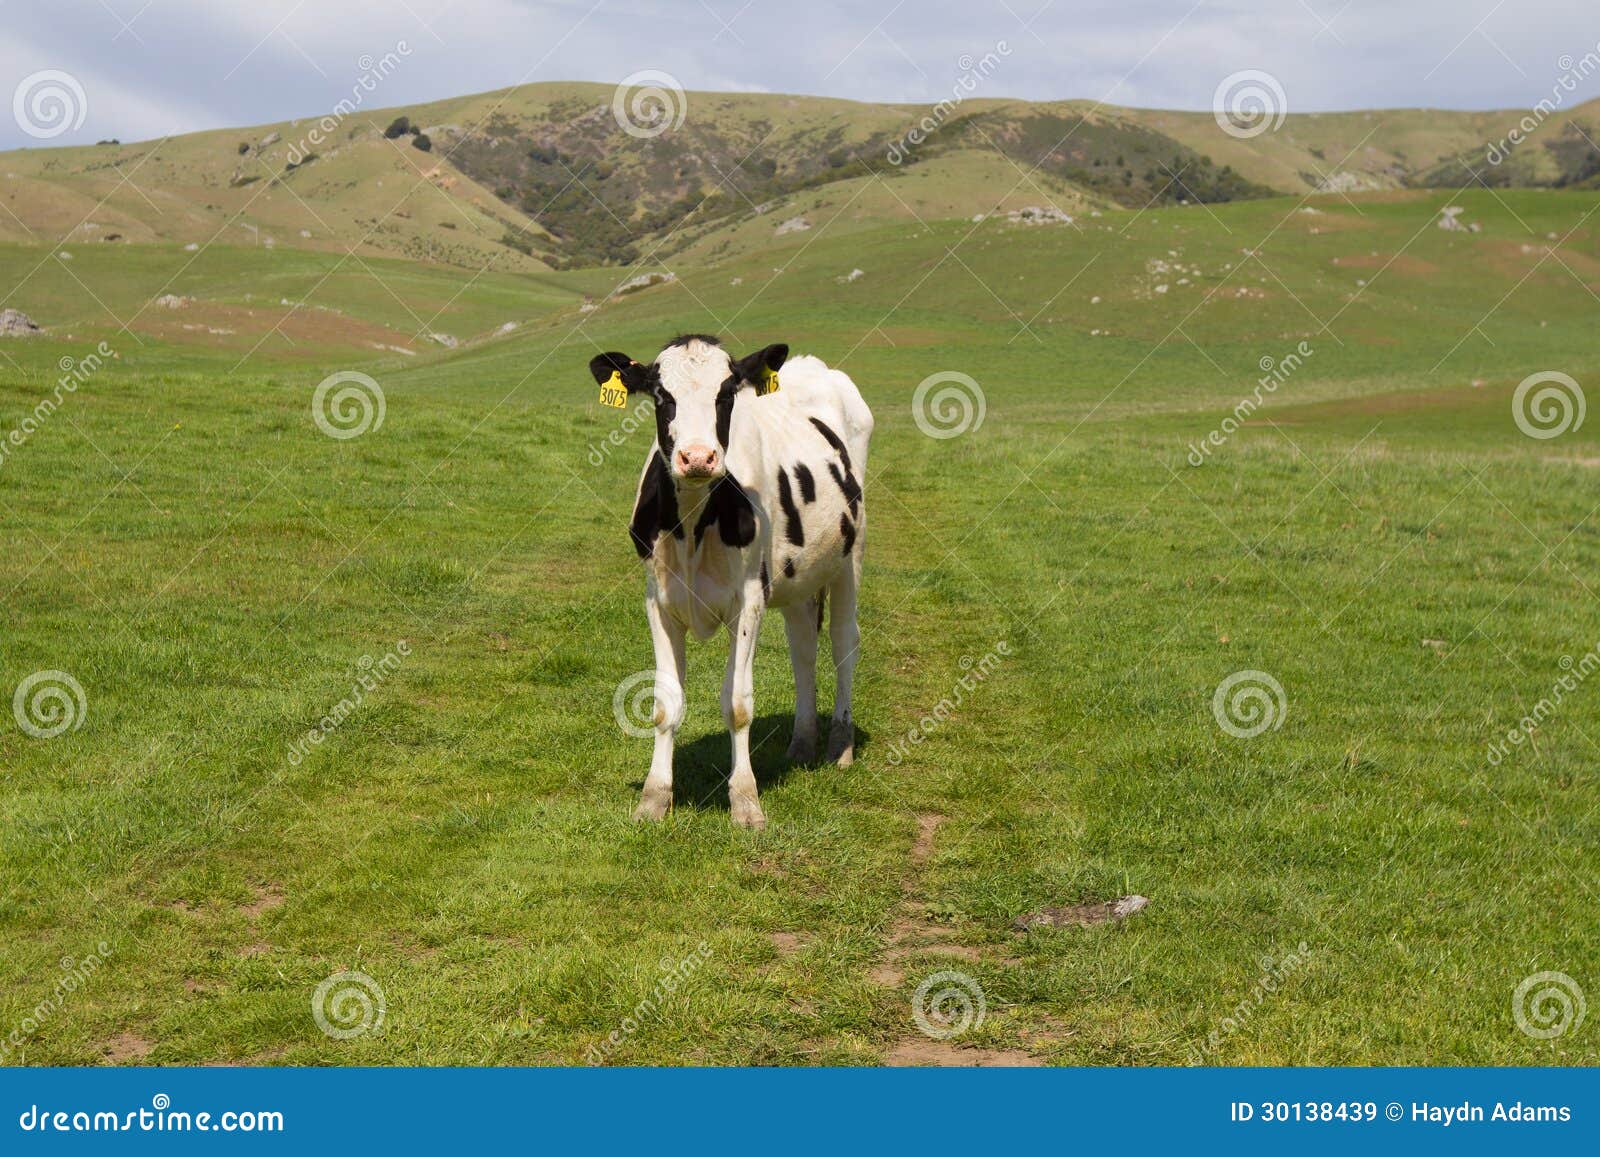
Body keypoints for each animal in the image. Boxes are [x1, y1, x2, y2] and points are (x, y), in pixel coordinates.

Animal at [589, 335, 873, 829]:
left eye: (725, 396)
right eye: (661, 396)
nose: (698, 457)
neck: (691, 526)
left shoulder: (749, 600)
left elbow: (738, 705)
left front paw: (745, 801)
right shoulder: (658, 602)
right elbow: (665, 702)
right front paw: (654, 797)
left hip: (849, 555)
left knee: (843, 642)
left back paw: (840, 745)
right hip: (800, 574)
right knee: (803, 647)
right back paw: (802, 743)